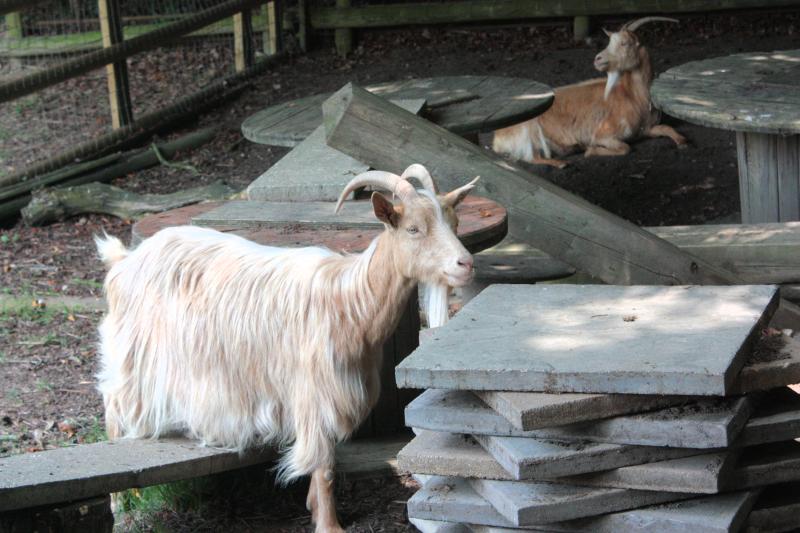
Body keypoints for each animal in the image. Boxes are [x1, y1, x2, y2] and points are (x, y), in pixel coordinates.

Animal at [94, 165, 476, 532]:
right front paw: (329, 524)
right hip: (133, 352)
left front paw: (312, 507)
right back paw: (119, 501)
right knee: (114, 407)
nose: (465, 264)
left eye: (454, 222)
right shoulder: (314, 391)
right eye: (413, 229)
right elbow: (324, 463)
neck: (351, 300)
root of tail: (124, 259)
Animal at [493, 17, 687, 168]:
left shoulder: (646, 129)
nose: (597, 59)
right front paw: (590, 151)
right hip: (529, 129)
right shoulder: (603, 134)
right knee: (532, 157)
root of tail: (496, 137)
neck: (634, 96)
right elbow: (625, 148)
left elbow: (666, 128)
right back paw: (561, 162)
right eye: (610, 42)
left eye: (624, 43)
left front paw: (681, 141)